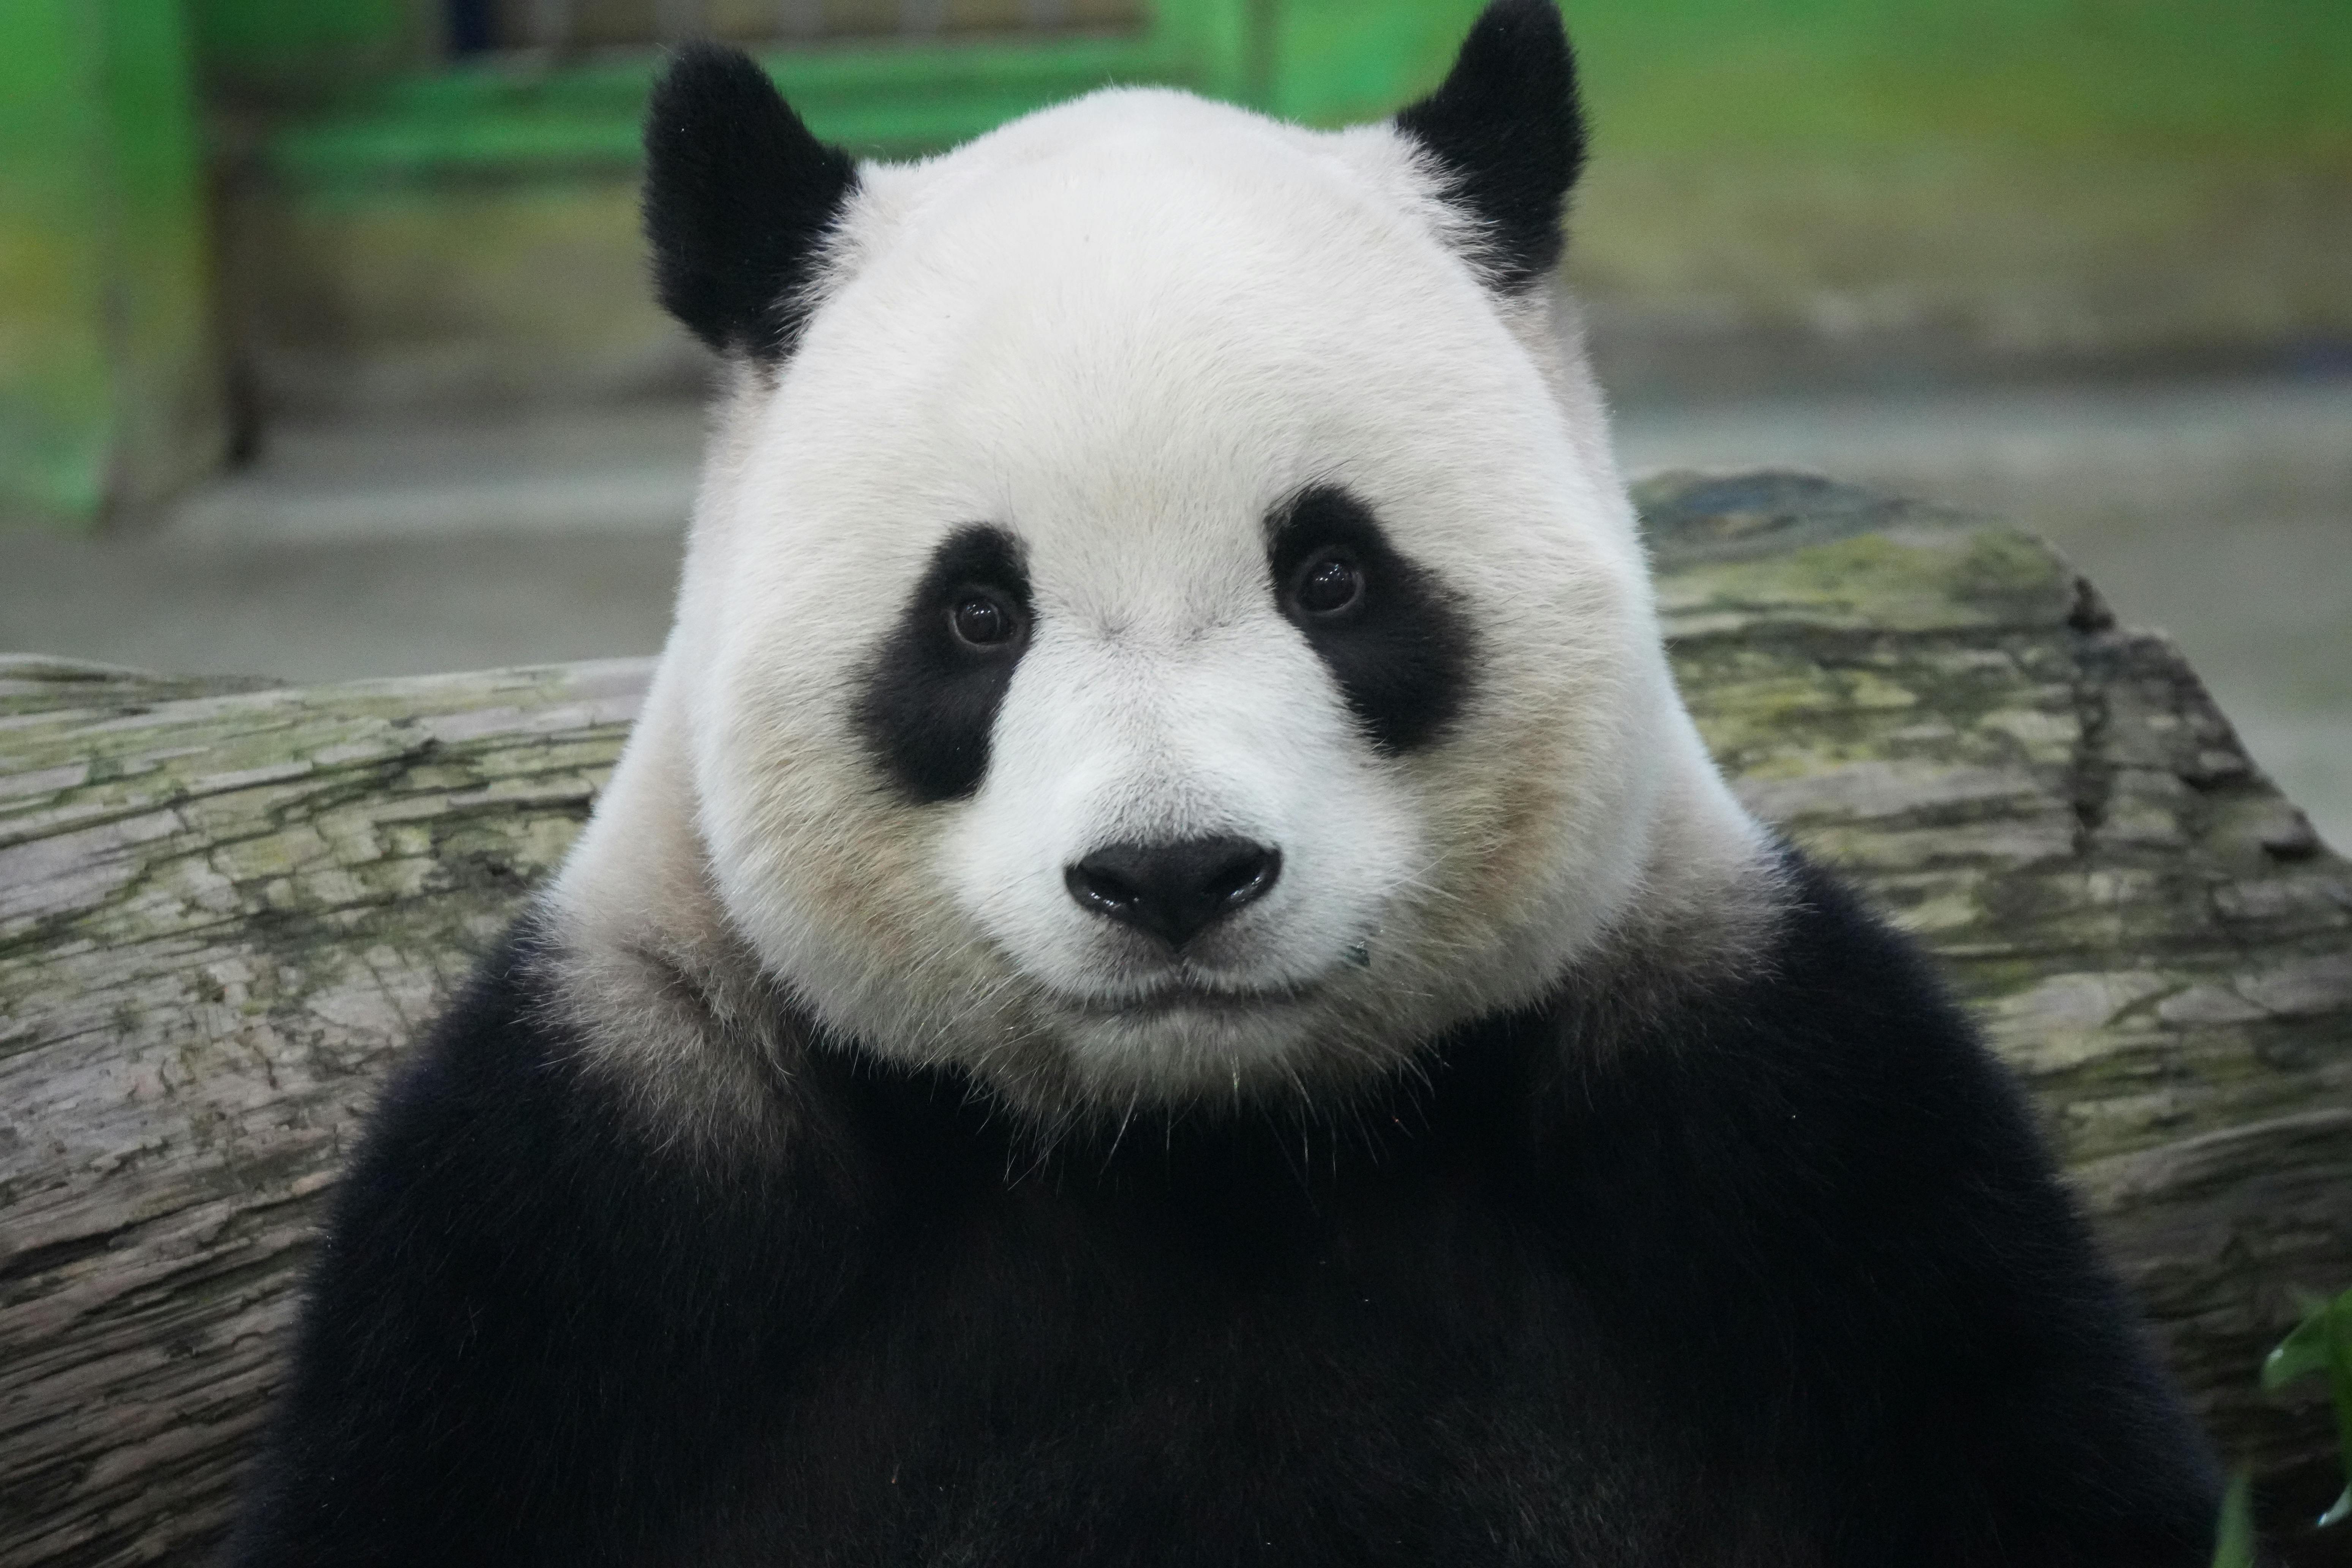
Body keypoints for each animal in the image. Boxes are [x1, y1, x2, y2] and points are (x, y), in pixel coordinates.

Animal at [229, 3, 2225, 1563]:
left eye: (1332, 576)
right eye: (976, 612)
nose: (1174, 874)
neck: (1201, 1143)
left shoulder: (1773, 1133)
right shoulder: (603, 1203)